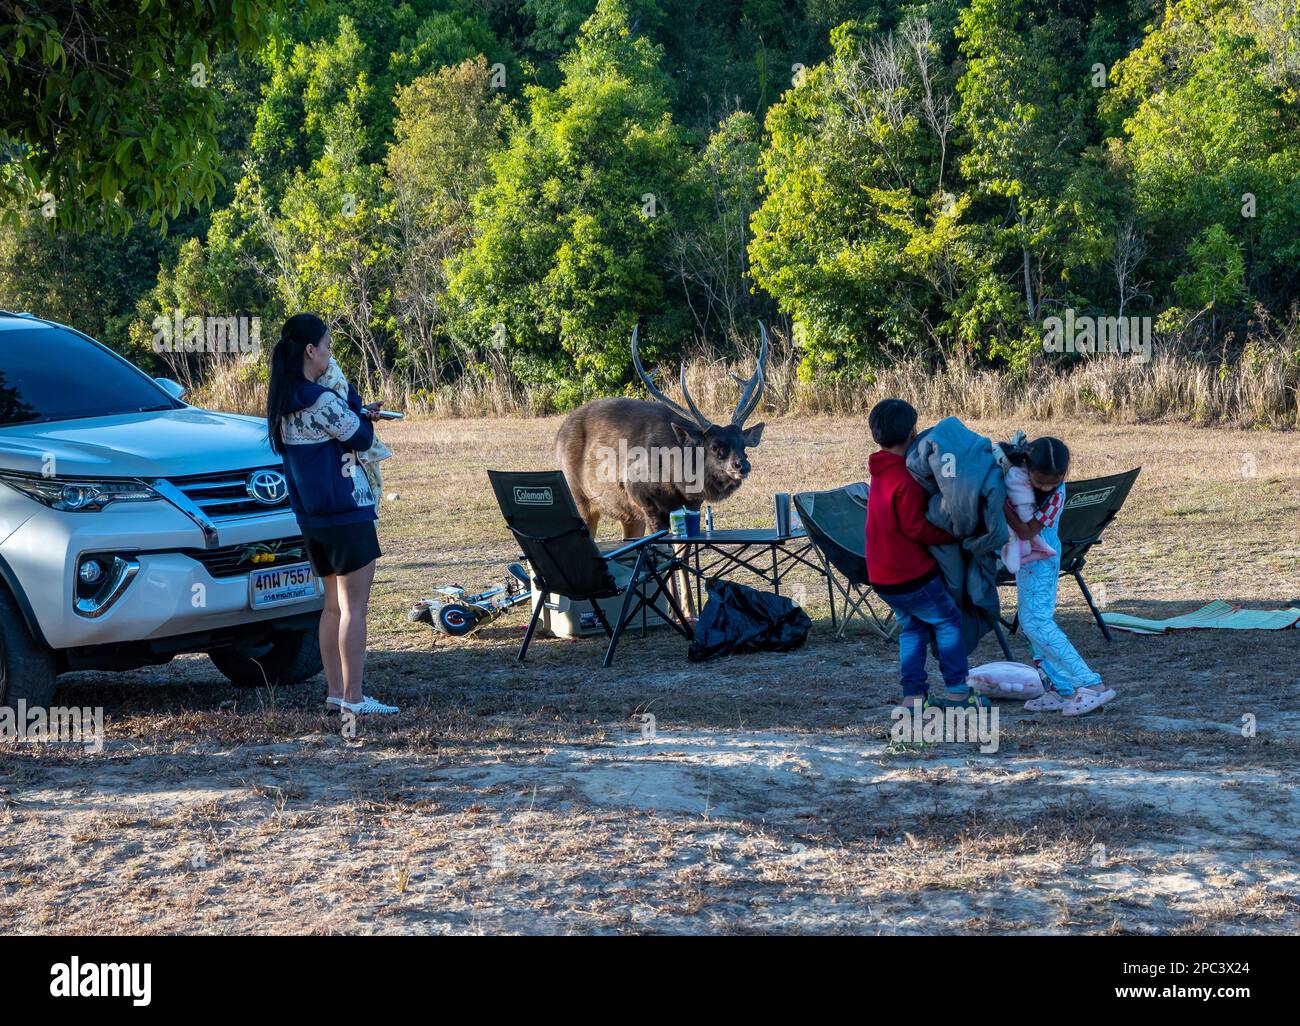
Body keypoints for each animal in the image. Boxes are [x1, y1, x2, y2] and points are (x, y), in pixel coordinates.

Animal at [556, 323, 768, 540]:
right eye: (715, 447)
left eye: (743, 445)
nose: (741, 465)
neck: (676, 478)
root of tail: (560, 432)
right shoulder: (645, 501)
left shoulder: (692, 505)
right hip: (579, 496)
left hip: (628, 515)